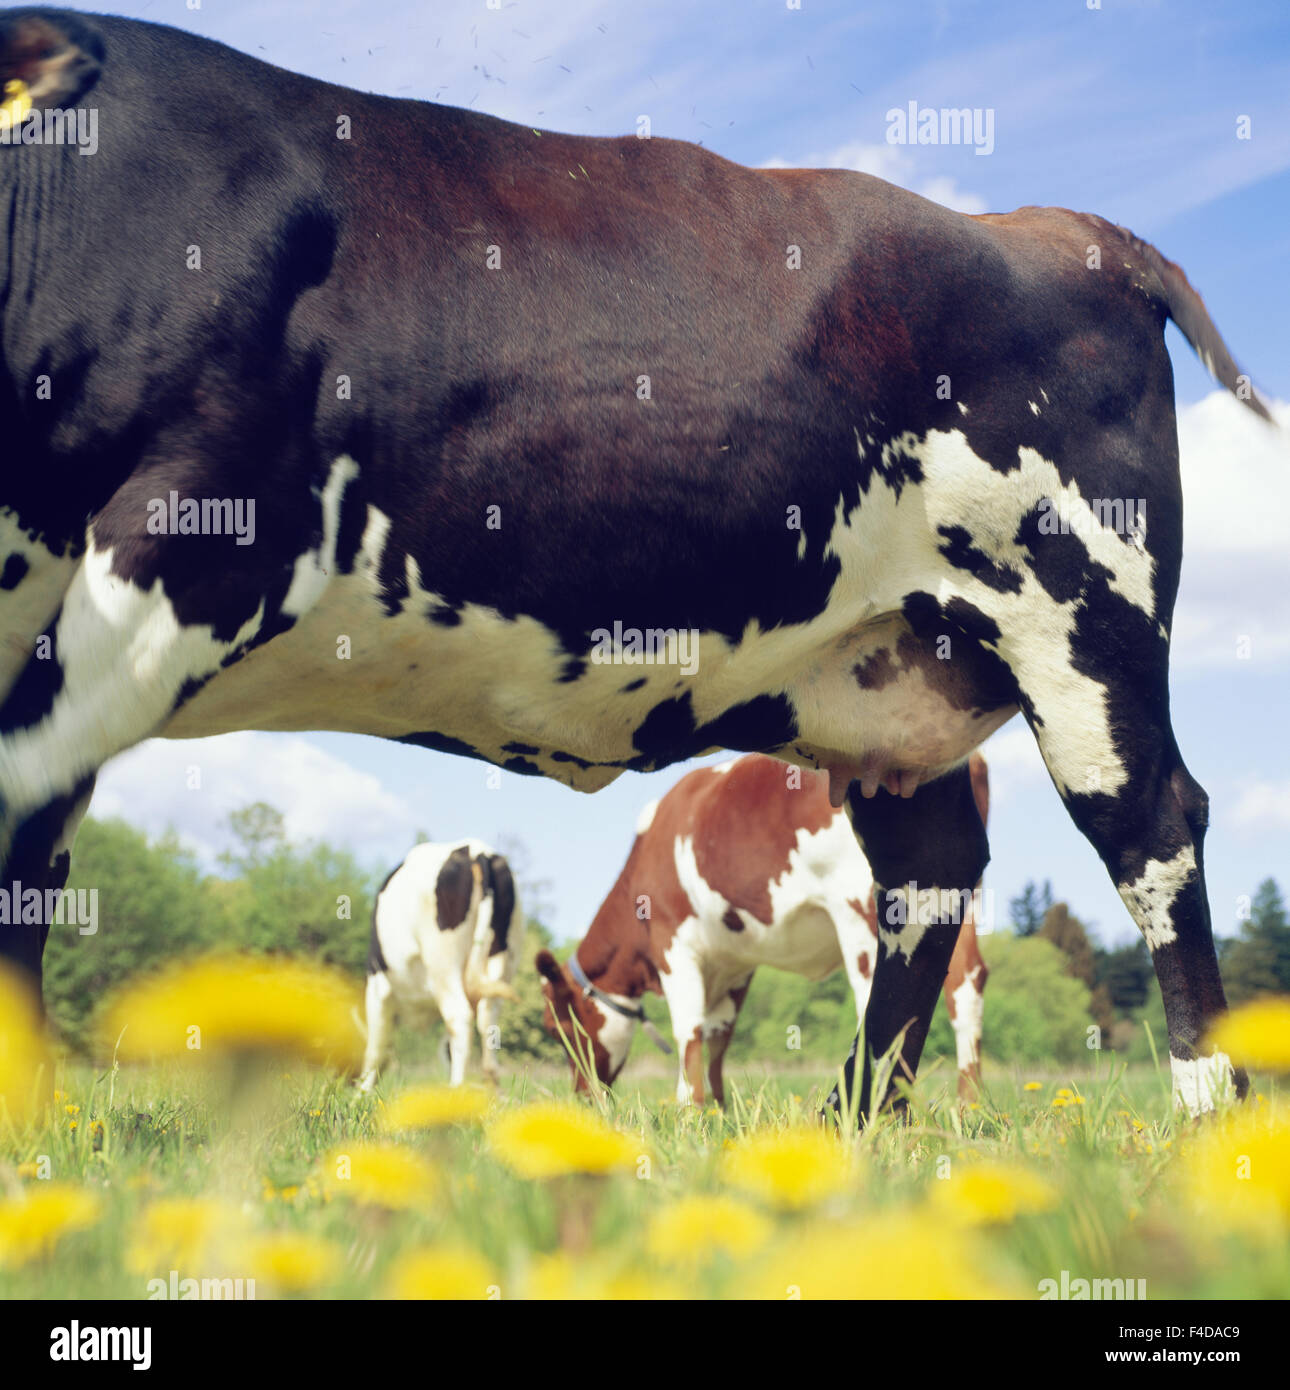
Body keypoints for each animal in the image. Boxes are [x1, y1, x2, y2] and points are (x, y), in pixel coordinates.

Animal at [359, 840, 520, 1090]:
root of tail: (475, 849)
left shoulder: (377, 984)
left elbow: (375, 1046)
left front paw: (361, 1092)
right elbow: (446, 1049)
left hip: (442, 964)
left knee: (460, 1019)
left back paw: (456, 1089)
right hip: (501, 964)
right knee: (488, 1024)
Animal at [536, 752, 991, 1105]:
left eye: (555, 1027)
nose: (584, 1097)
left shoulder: (672, 941)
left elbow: (688, 1028)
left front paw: (688, 1107)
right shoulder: (735, 961)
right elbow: (719, 1036)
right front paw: (716, 1109)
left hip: (862, 907)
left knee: (874, 993)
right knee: (965, 984)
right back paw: (968, 1105)